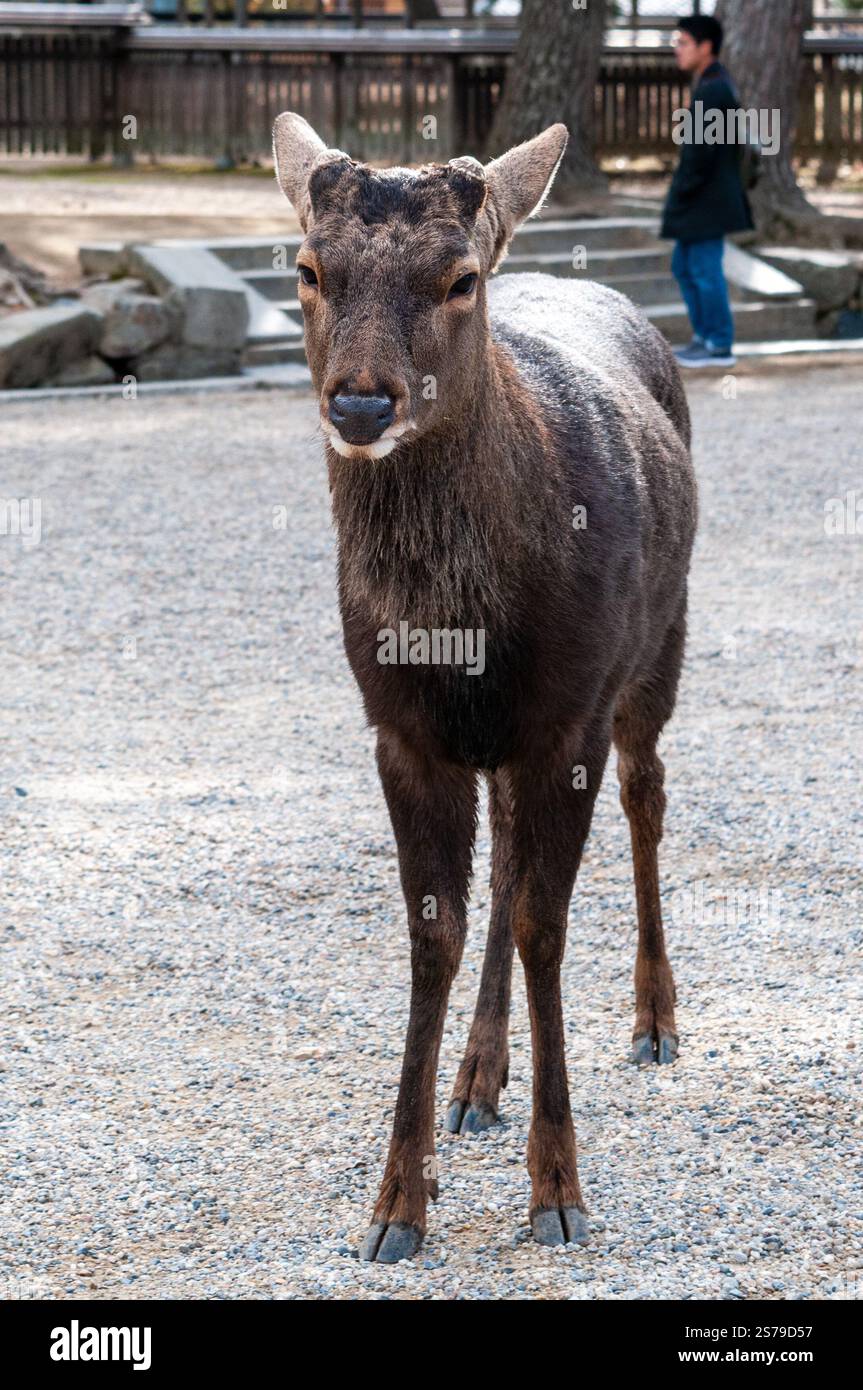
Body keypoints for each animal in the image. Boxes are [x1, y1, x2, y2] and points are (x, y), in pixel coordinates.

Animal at [273, 112, 697, 1263]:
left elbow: (546, 925)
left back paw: (653, 1020)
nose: (360, 399)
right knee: (506, 857)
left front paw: (557, 1190)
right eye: (306, 268)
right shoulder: (401, 731)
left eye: (461, 278)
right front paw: (394, 1205)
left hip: (660, 643)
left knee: (647, 794)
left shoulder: (568, 721)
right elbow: (438, 932)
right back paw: (477, 1079)